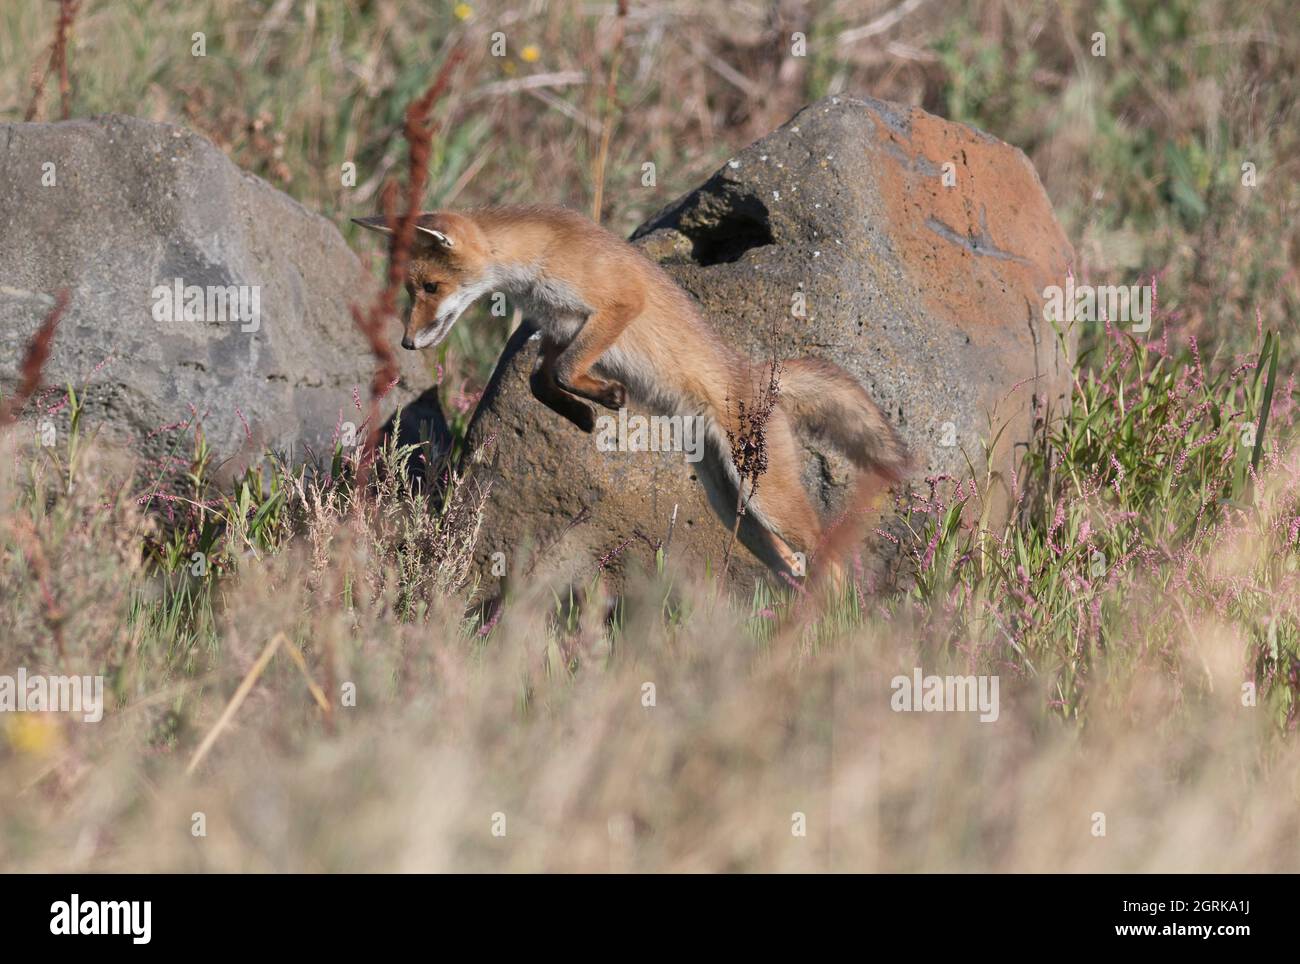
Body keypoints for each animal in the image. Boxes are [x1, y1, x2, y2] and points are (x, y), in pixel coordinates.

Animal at [352, 205, 908, 583]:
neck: (540, 260)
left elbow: (566, 370)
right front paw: (582, 413)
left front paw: (608, 397)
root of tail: (755, 375)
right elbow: (541, 381)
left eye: (430, 287)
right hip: (734, 506)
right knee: (790, 560)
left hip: (767, 494)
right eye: (411, 290)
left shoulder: (616, 307)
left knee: (825, 550)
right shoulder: (556, 329)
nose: (406, 342)